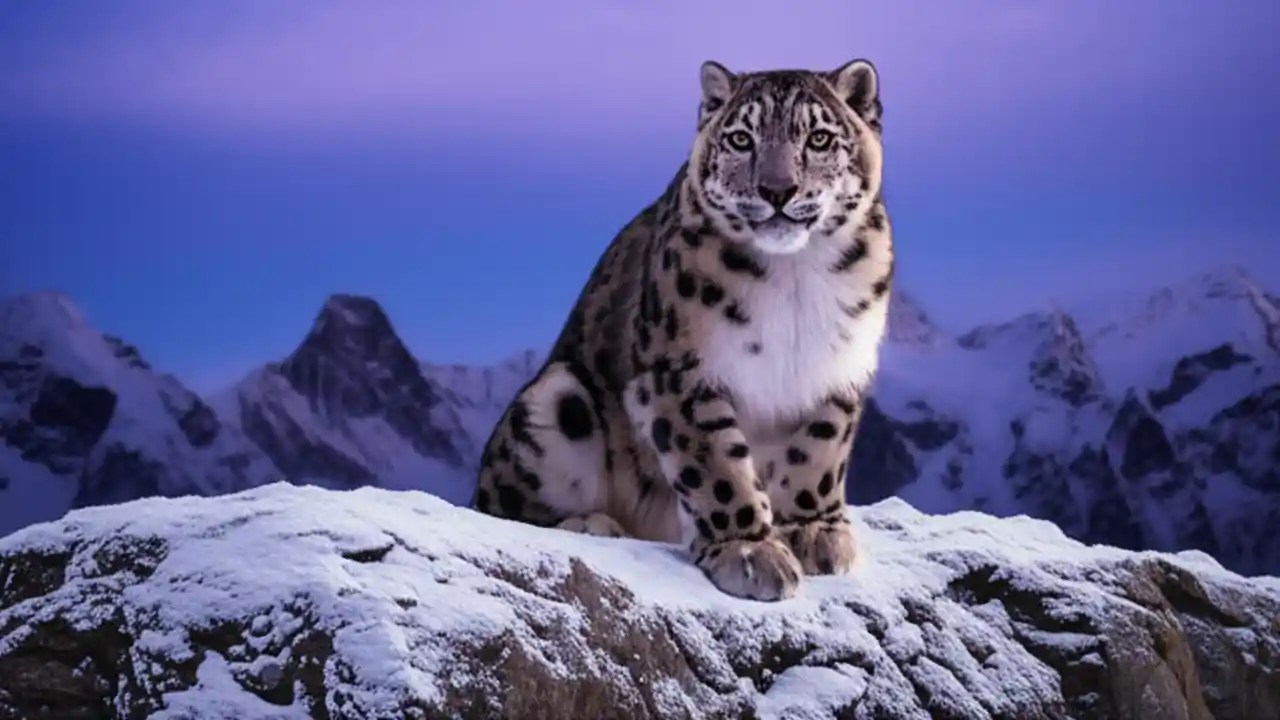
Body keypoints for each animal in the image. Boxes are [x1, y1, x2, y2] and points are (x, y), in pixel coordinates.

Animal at [472, 58, 893, 602]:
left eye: (819, 138)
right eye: (741, 139)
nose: (777, 190)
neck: (796, 276)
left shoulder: (840, 369)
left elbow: (819, 452)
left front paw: (813, 532)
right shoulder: (679, 372)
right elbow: (717, 464)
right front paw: (749, 553)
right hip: (556, 398)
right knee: (500, 506)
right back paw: (592, 524)